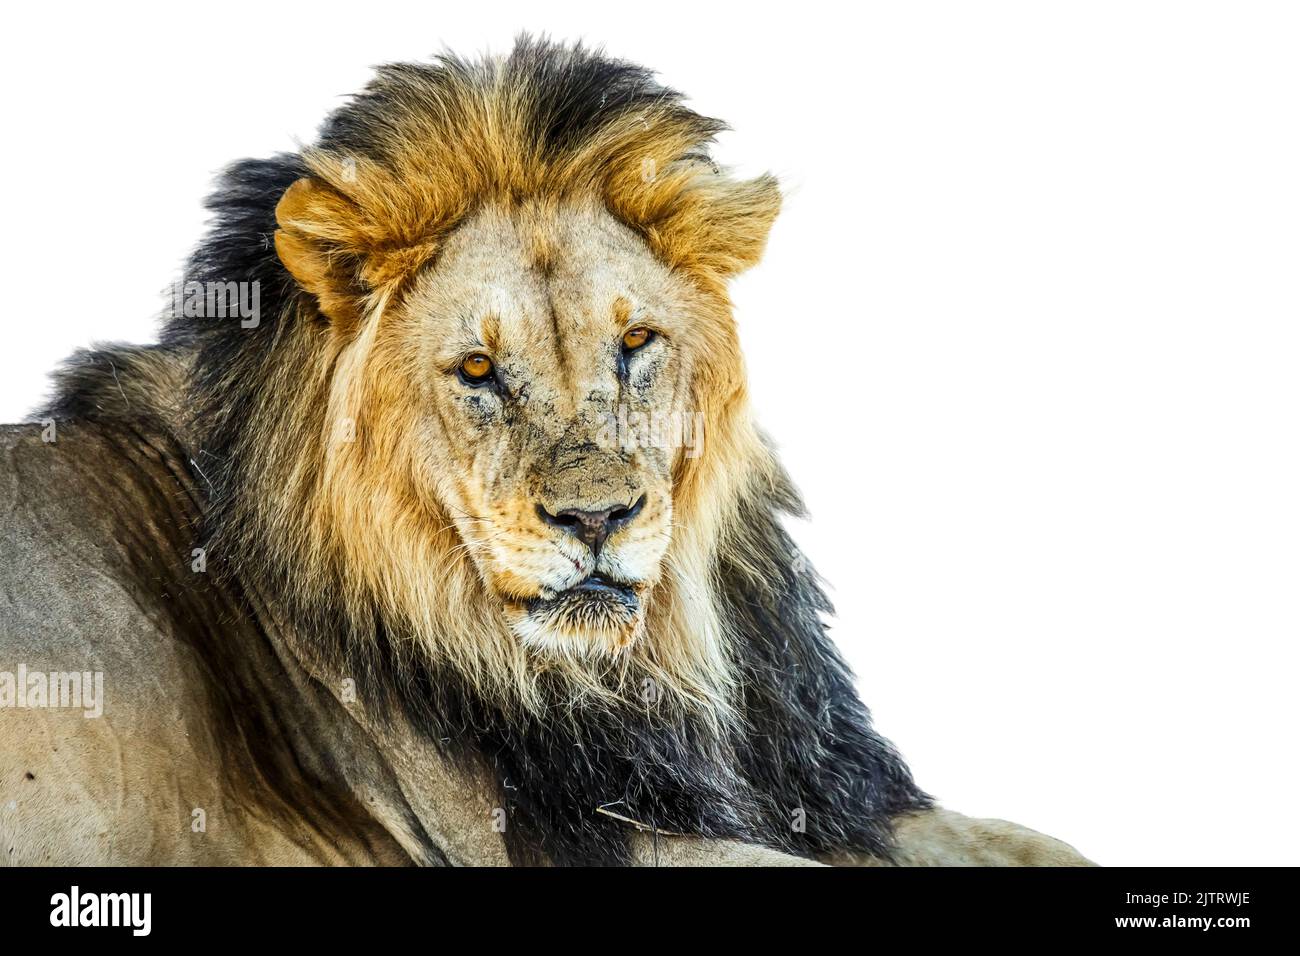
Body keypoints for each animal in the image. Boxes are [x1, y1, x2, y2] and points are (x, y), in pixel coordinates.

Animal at [0, 38, 1091, 866]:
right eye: (480, 369)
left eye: (636, 341)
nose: (595, 518)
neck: (642, 664)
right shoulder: (539, 839)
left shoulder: (820, 788)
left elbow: (1030, 842)